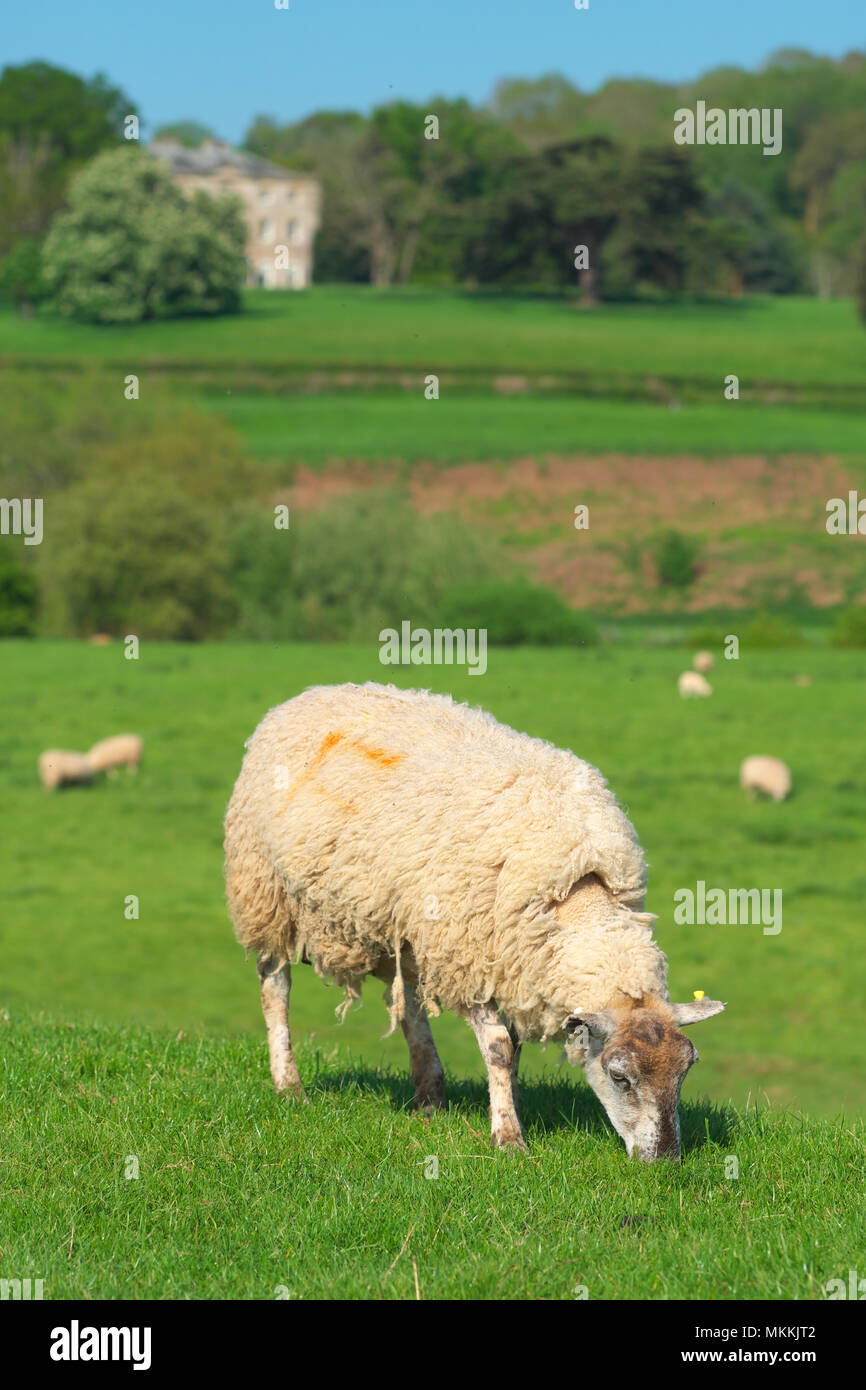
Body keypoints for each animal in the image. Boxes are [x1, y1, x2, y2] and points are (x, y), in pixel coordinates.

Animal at [224, 682, 725, 1161]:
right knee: (275, 985)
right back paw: (290, 1085)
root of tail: (309, 694)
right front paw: (508, 1137)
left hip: (409, 928)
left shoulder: (516, 967)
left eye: (686, 1070)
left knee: (411, 1005)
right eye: (620, 1077)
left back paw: (429, 1096)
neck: (574, 889)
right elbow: (500, 1048)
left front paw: (511, 1107)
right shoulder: (471, 961)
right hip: (264, 891)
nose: (665, 1159)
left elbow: (513, 1051)